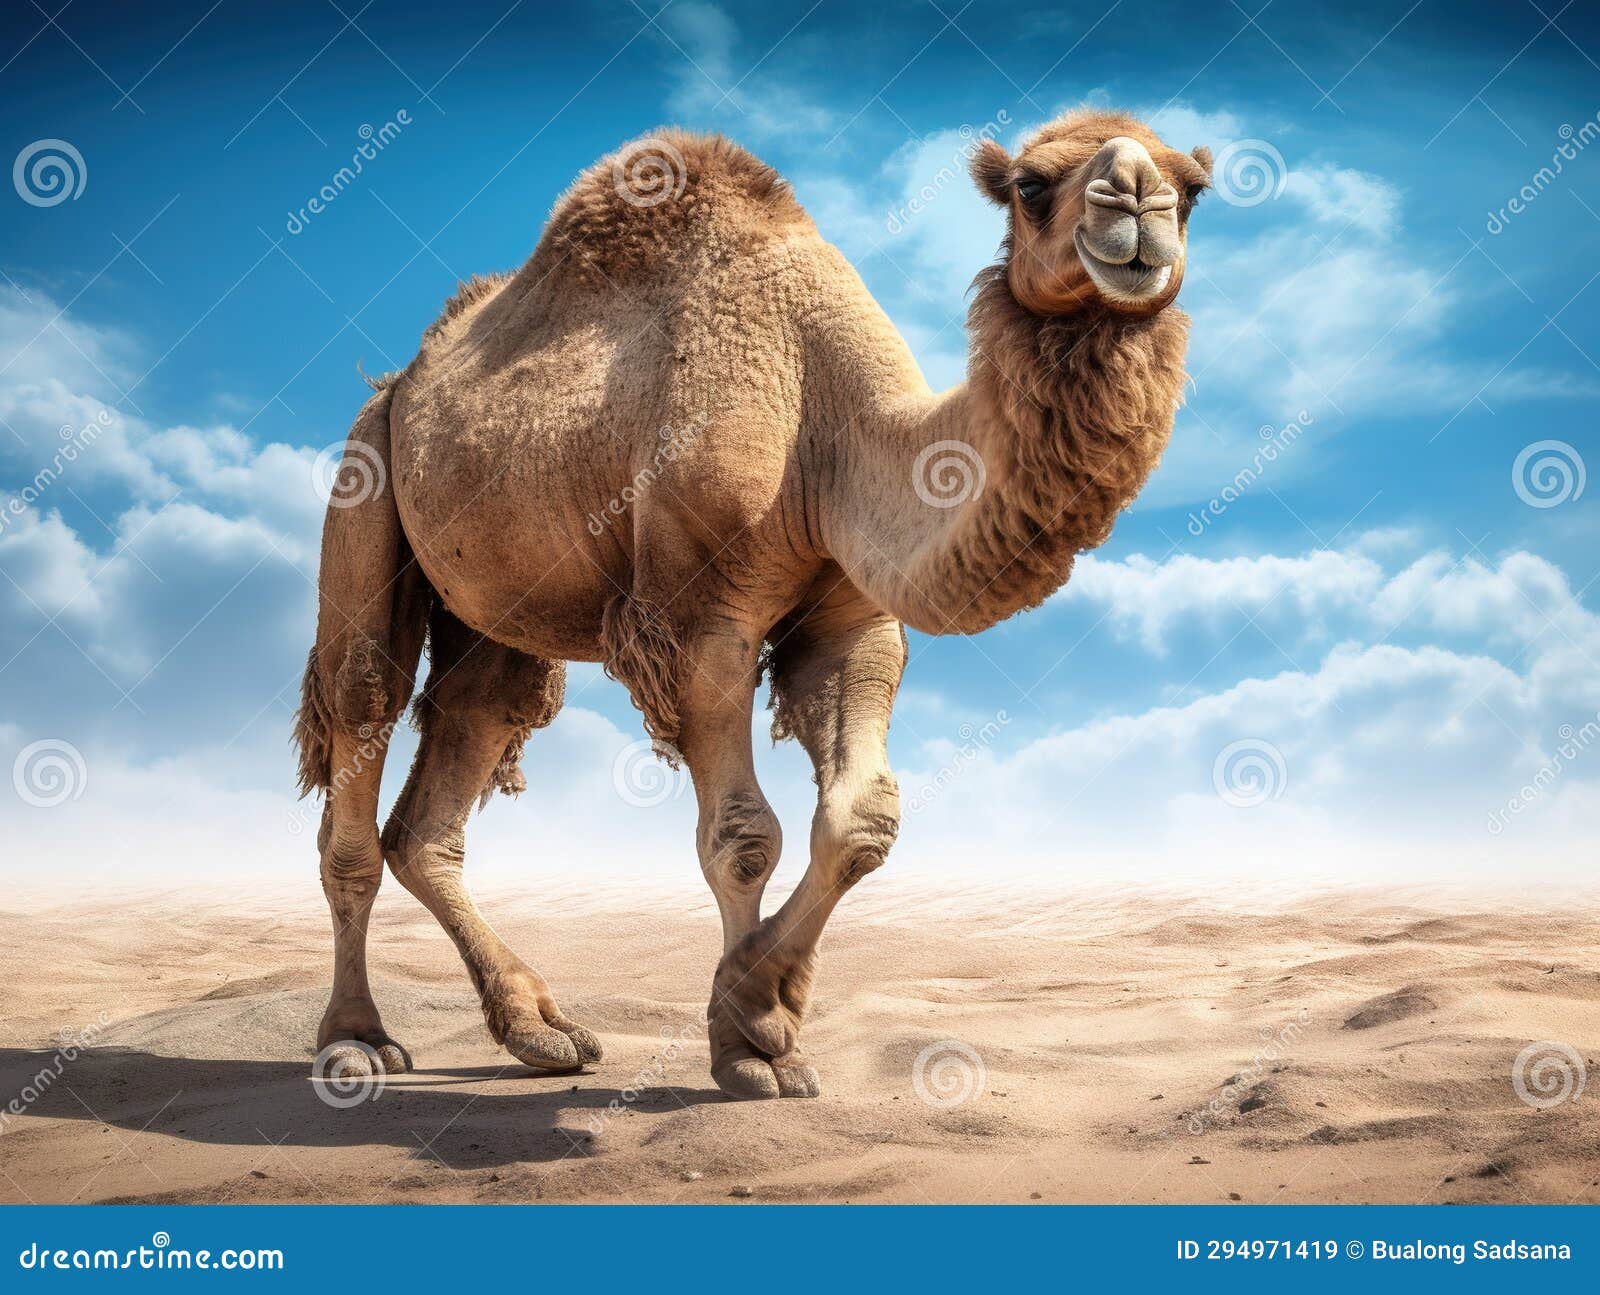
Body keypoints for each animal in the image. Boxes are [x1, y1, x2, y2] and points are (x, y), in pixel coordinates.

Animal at [293, 109, 1212, 1100]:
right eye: (1031, 187)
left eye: (1194, 189)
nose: (1137, 200)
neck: (826, 418)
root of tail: (400, 381)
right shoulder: (700, 621)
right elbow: (742, 836)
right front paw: (746, 1038)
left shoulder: (852, 618)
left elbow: (864, 820)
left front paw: (770, 1010)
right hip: (365, 482)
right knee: (362, 719)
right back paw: (356, 1040)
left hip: (495, 601)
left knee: (466, 744)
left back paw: (542, 1027)